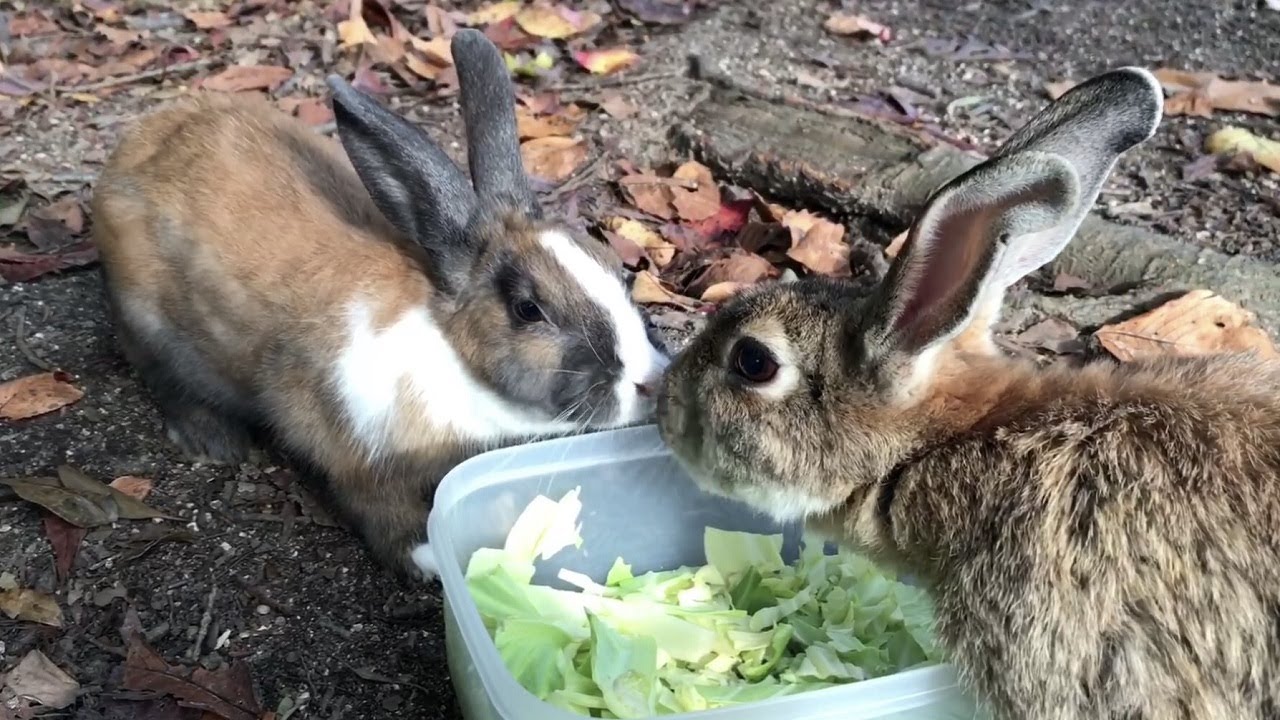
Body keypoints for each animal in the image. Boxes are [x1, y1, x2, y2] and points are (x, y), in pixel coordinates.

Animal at [92, 29, 668, 580]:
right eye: (529, 309)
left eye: (612, 263)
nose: (650, 382)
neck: (456, 361)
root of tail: (133, 144)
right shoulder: (357, 461)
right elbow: (383, 517)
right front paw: (429, 560)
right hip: (148, 324)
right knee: (162, 377)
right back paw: (213, 442)